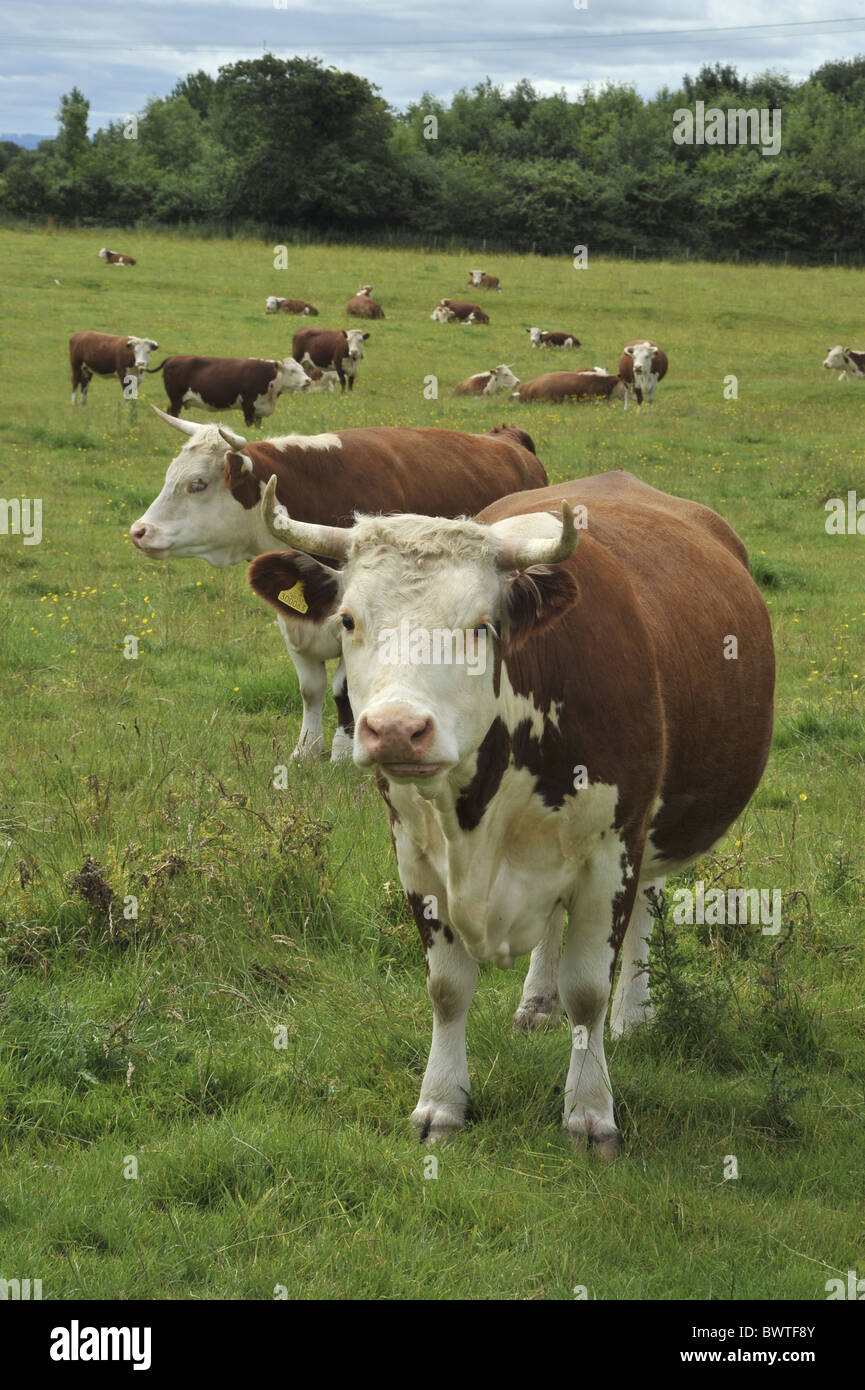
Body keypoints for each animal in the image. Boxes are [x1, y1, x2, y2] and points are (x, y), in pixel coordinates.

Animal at [131, 413, 546, 762]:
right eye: (170, 476)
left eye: (197, 484)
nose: (139, 531)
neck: (316, 487)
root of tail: (507, 437)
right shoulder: (294, 621)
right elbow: (310, 688)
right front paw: (305, 749)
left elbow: (341, 687)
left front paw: (343, 749)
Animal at [145, 355, 310, 426]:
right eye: (293, 371)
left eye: (302, 368)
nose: (308, 381)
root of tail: (173, 358)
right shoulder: (248, 405)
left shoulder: (259, 409)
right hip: (176, 398)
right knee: (173, 412)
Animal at [247, 469, 775, 1155]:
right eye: (349, 619)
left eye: (480, 626)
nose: (396, 731)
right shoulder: (416, 856)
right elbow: (448, 988)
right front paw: (441, 1103)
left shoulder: (612, 852)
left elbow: (589, 991)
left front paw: (590, 1112)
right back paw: (536, 1003)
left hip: (647, 834)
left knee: (644, 912)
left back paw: (635, 1016)